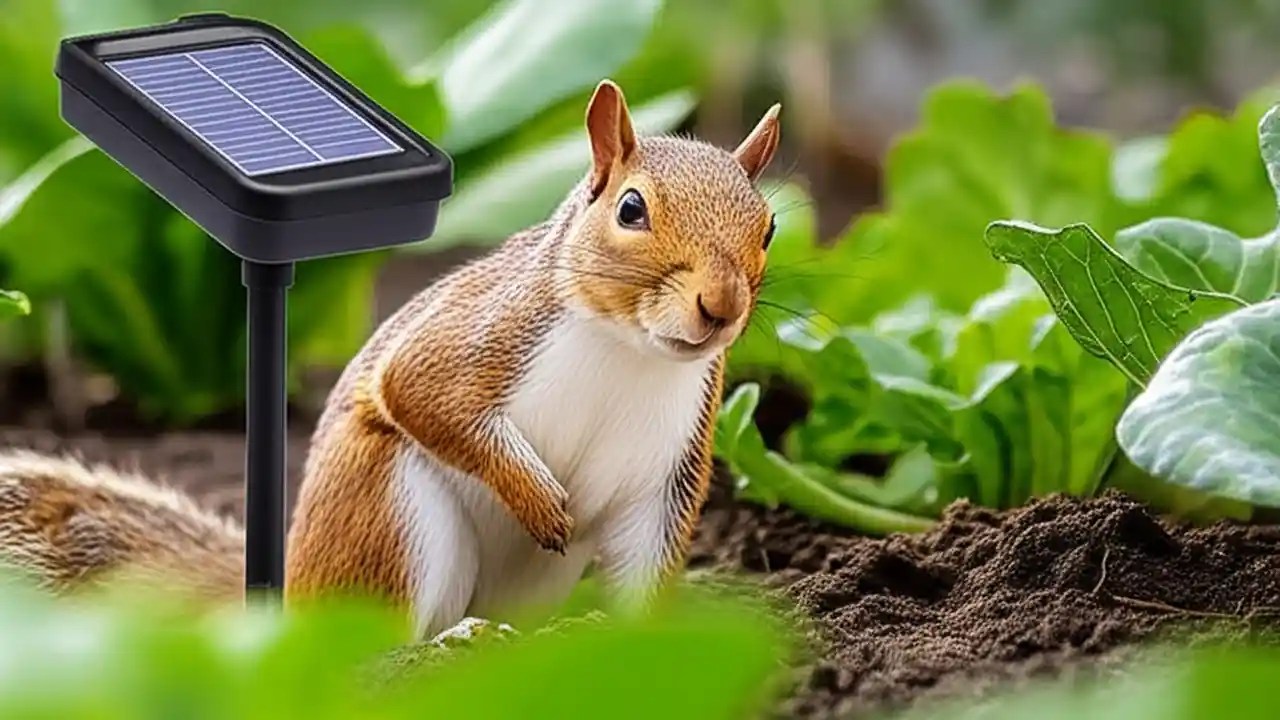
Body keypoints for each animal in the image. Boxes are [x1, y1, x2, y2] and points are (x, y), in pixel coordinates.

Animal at [0, 80, 781, 638]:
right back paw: (449, 643)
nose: (720, 306)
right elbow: (422, 392)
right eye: (630, 210)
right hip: (391, 510)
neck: (629, 350)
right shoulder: (487, 332)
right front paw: (536, 496)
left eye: (770, 225)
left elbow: (646, 570)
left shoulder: (666, 471)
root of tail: (286, 607)